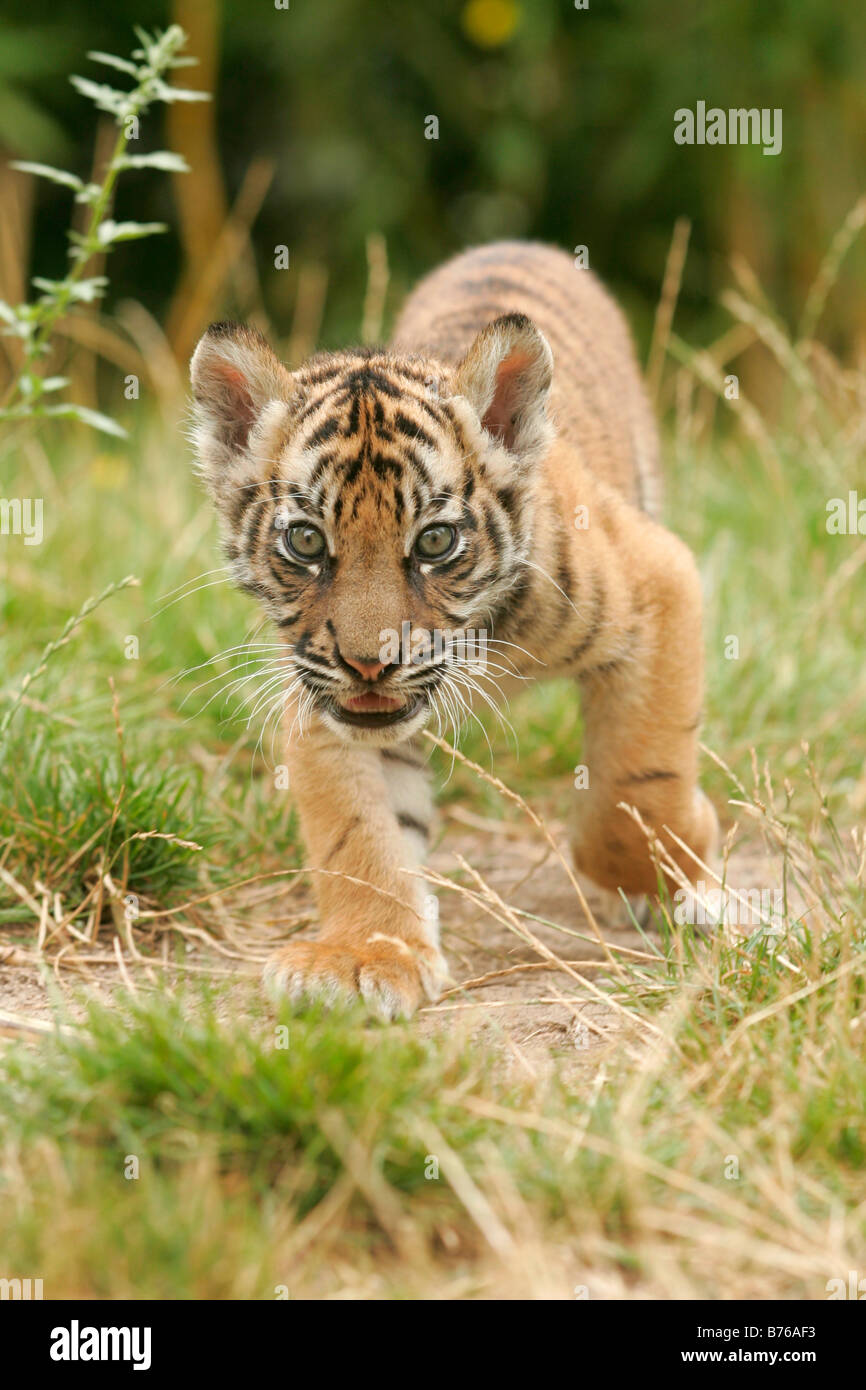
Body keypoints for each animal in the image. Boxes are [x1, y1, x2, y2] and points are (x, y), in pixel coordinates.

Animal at [190, 240, 719, 1020]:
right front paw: (364, 954)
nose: (368, 663)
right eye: (307, 543)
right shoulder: (319, 693)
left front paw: (685, 858)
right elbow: (359, 835)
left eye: (435, 542)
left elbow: (632, 791)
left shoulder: (660, 581)